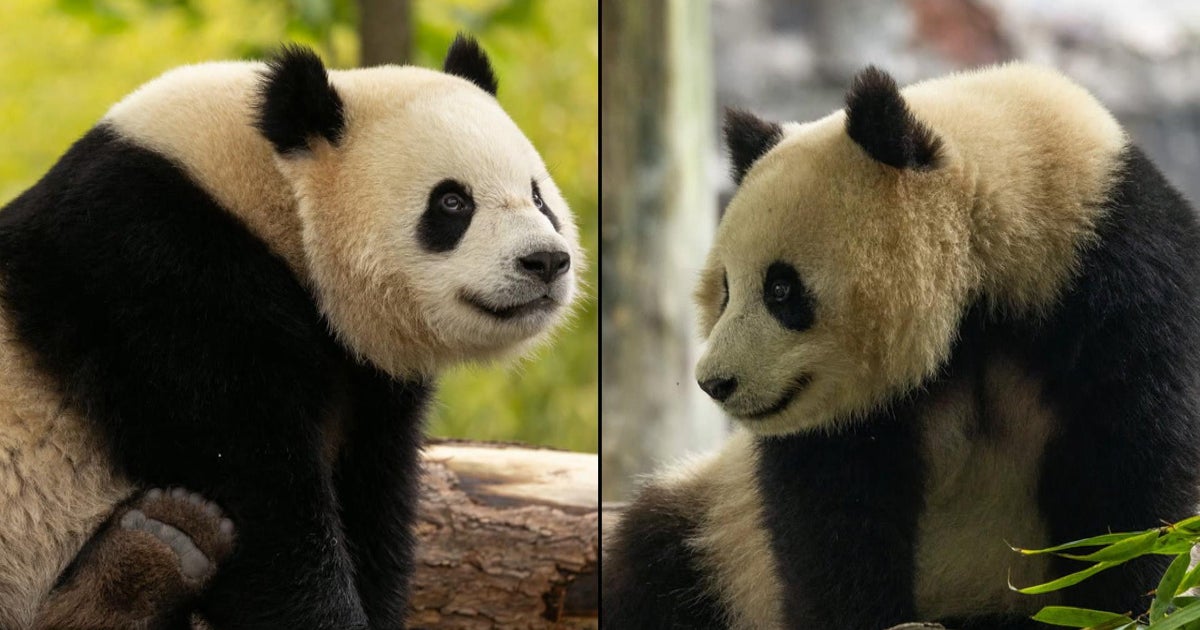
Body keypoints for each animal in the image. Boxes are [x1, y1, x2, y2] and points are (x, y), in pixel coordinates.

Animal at [0, 35, 580, 629]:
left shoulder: (366, 383)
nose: (545, 261)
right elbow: (256, 492)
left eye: (538, 197)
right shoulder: (157, 277)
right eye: (452, 202)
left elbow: (371, 511)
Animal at [602, 64, 1200, 629]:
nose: (716, 382)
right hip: (719, 532)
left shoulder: (1115, 286)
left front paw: (1129, 608)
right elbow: (835, 518)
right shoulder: (842, 423)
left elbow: (1129, 477)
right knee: (655, 558)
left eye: (780, 289)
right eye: (725, 290)